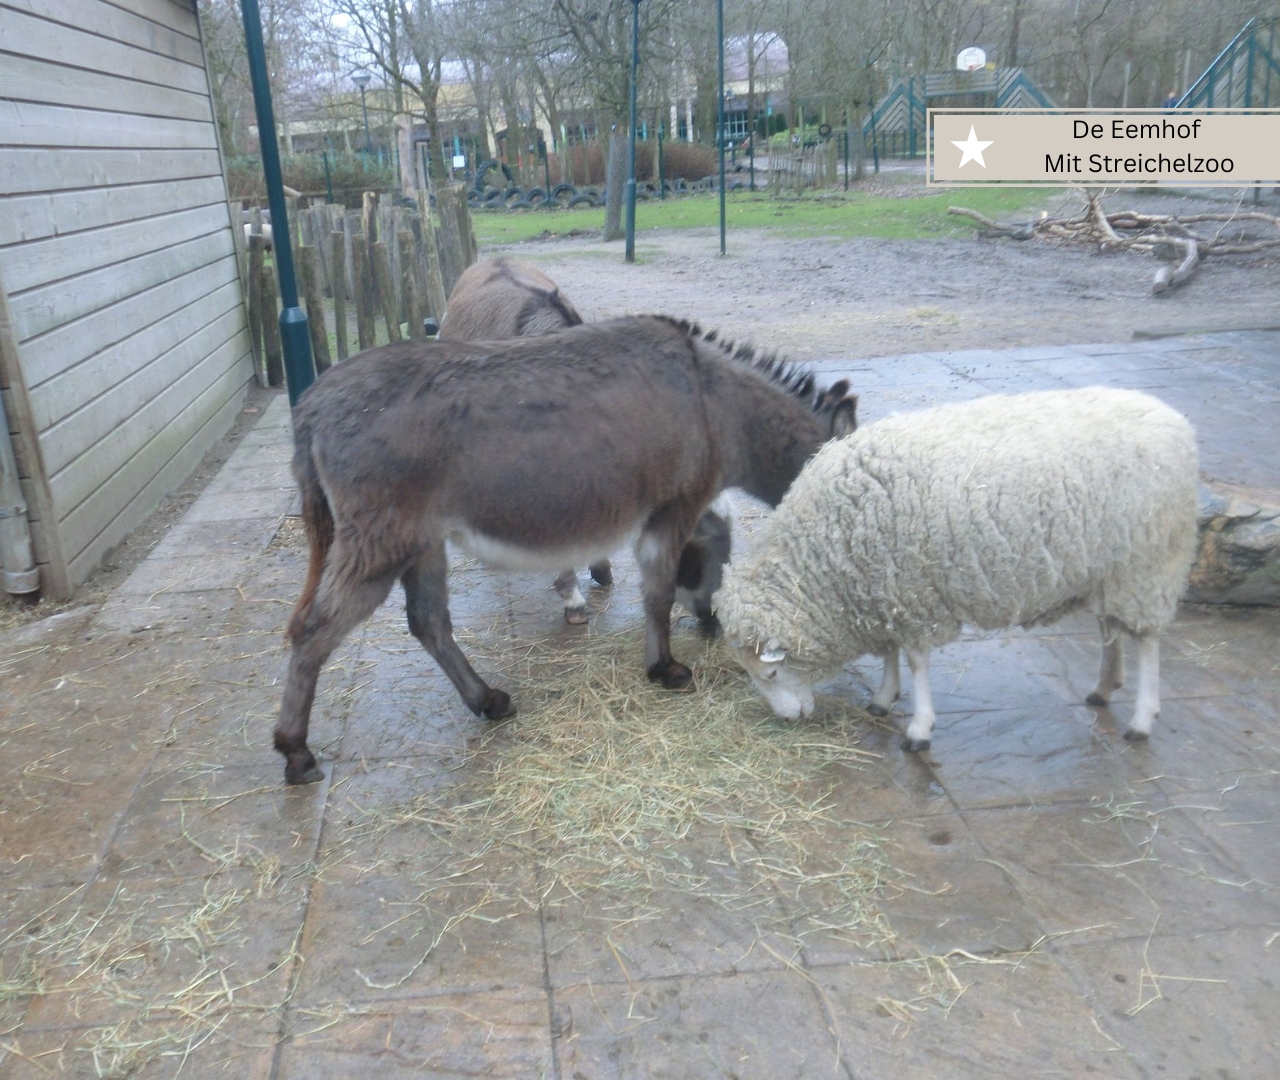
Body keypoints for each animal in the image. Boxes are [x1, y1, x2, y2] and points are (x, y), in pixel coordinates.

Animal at [721, 389, 1198, 752]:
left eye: (771, 672)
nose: (790, 719)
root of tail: (1173, 419)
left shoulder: (909, 591)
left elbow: (915, 660)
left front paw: (919, 728)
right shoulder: (881, 588)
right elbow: (889, 651)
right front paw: (883, 697)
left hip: (1148, 564)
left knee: (1147, 641)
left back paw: (1141, 718)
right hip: (1108, 565)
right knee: (1109, 624)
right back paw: (1104, 685)